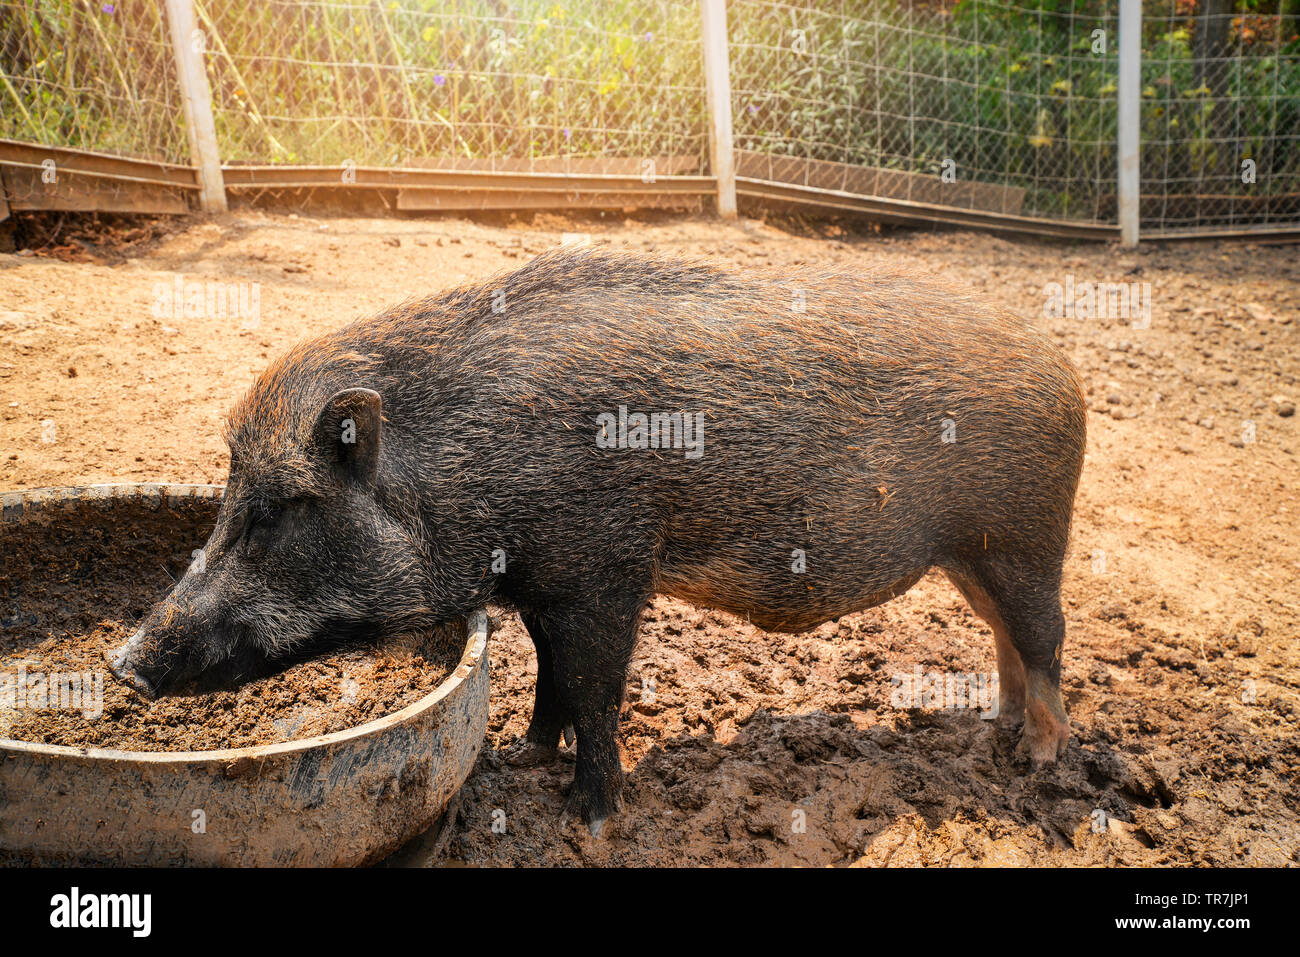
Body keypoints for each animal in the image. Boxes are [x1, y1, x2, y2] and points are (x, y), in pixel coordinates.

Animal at [110, 247, 1086, 835]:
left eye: (278, 509)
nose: (121, 664)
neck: (457, 472)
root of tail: (1061, 361)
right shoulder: (546, 586)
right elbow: (552, 678)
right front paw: (522, 756)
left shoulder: (606, 570)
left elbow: (597, 688)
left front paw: (589, 816)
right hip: (970, 554)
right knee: (1004, 636)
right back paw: (994, 732)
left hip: (1025, 537)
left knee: (1047, 636)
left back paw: (1037, 761)